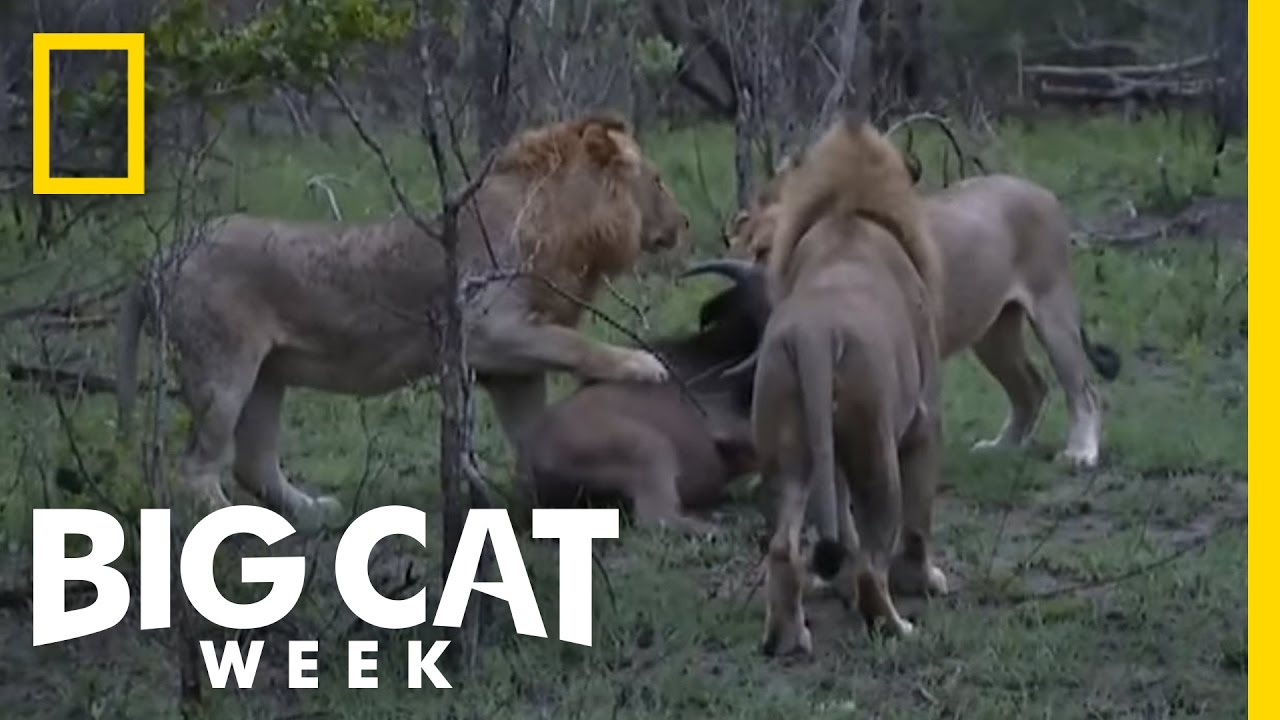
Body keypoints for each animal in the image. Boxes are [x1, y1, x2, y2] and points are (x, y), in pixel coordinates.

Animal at [115, 114, 690, 528]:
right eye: (659, 180)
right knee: (195, 469)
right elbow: (577, 345)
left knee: (253, 465)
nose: (685, 222)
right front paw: (644, 365)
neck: (570, 231)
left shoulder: (511, 369)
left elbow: (534, 432)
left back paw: (312, 514)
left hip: (267, 375)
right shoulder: (484, 330)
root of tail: (160, 257)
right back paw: (223, 522)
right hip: (223, 369)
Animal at [753, 117, 949, 656]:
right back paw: (897, 627)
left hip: (788, 452)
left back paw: (789, 637)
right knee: (870, 567)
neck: (849, 213)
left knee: (783, 548)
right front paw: (925, 580)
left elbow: (837, 516)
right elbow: (919, 523)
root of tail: (815, 333)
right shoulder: (924, 421)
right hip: (877, 456)